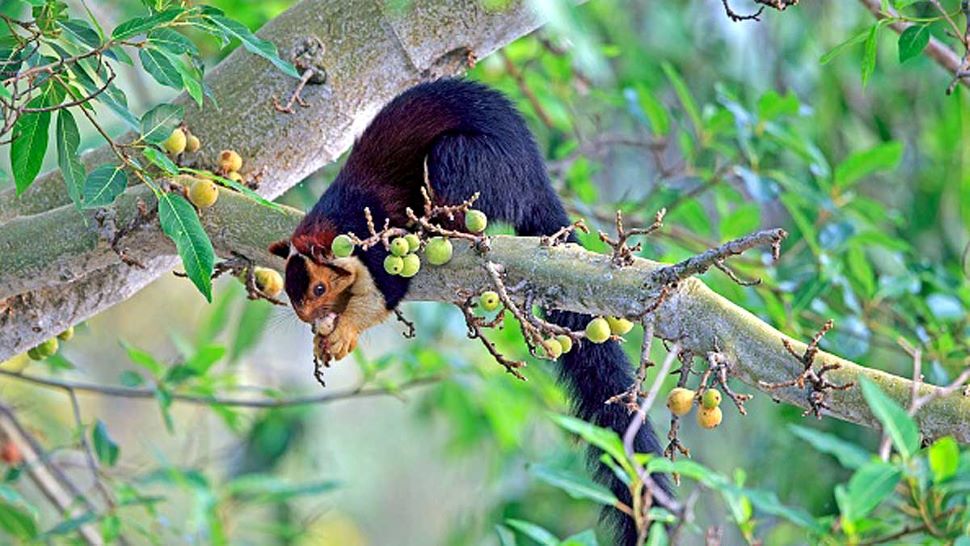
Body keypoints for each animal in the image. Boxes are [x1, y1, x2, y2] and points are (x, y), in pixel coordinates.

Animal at [269, 79, 668, 543]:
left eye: (318, 287)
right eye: (292, 296)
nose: (309, 319)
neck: (336, 219)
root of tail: (533, 182)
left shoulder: (377, 237)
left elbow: (387, 290)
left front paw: (344, 330)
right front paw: (326, 334)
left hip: (465, 163)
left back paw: (443, 225)